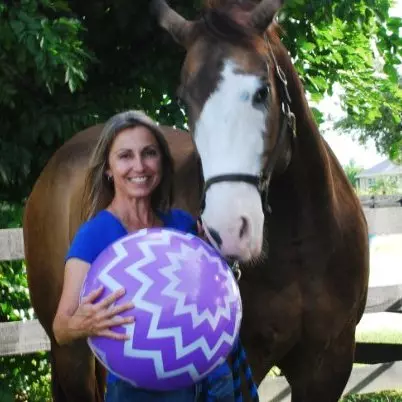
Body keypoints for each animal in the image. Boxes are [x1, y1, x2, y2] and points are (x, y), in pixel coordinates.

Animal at [23, 0, 370, 400]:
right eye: (184, 99)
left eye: (262, 91)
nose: (229, 230)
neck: (300, 248)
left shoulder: (328, 364)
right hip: (72, 353)